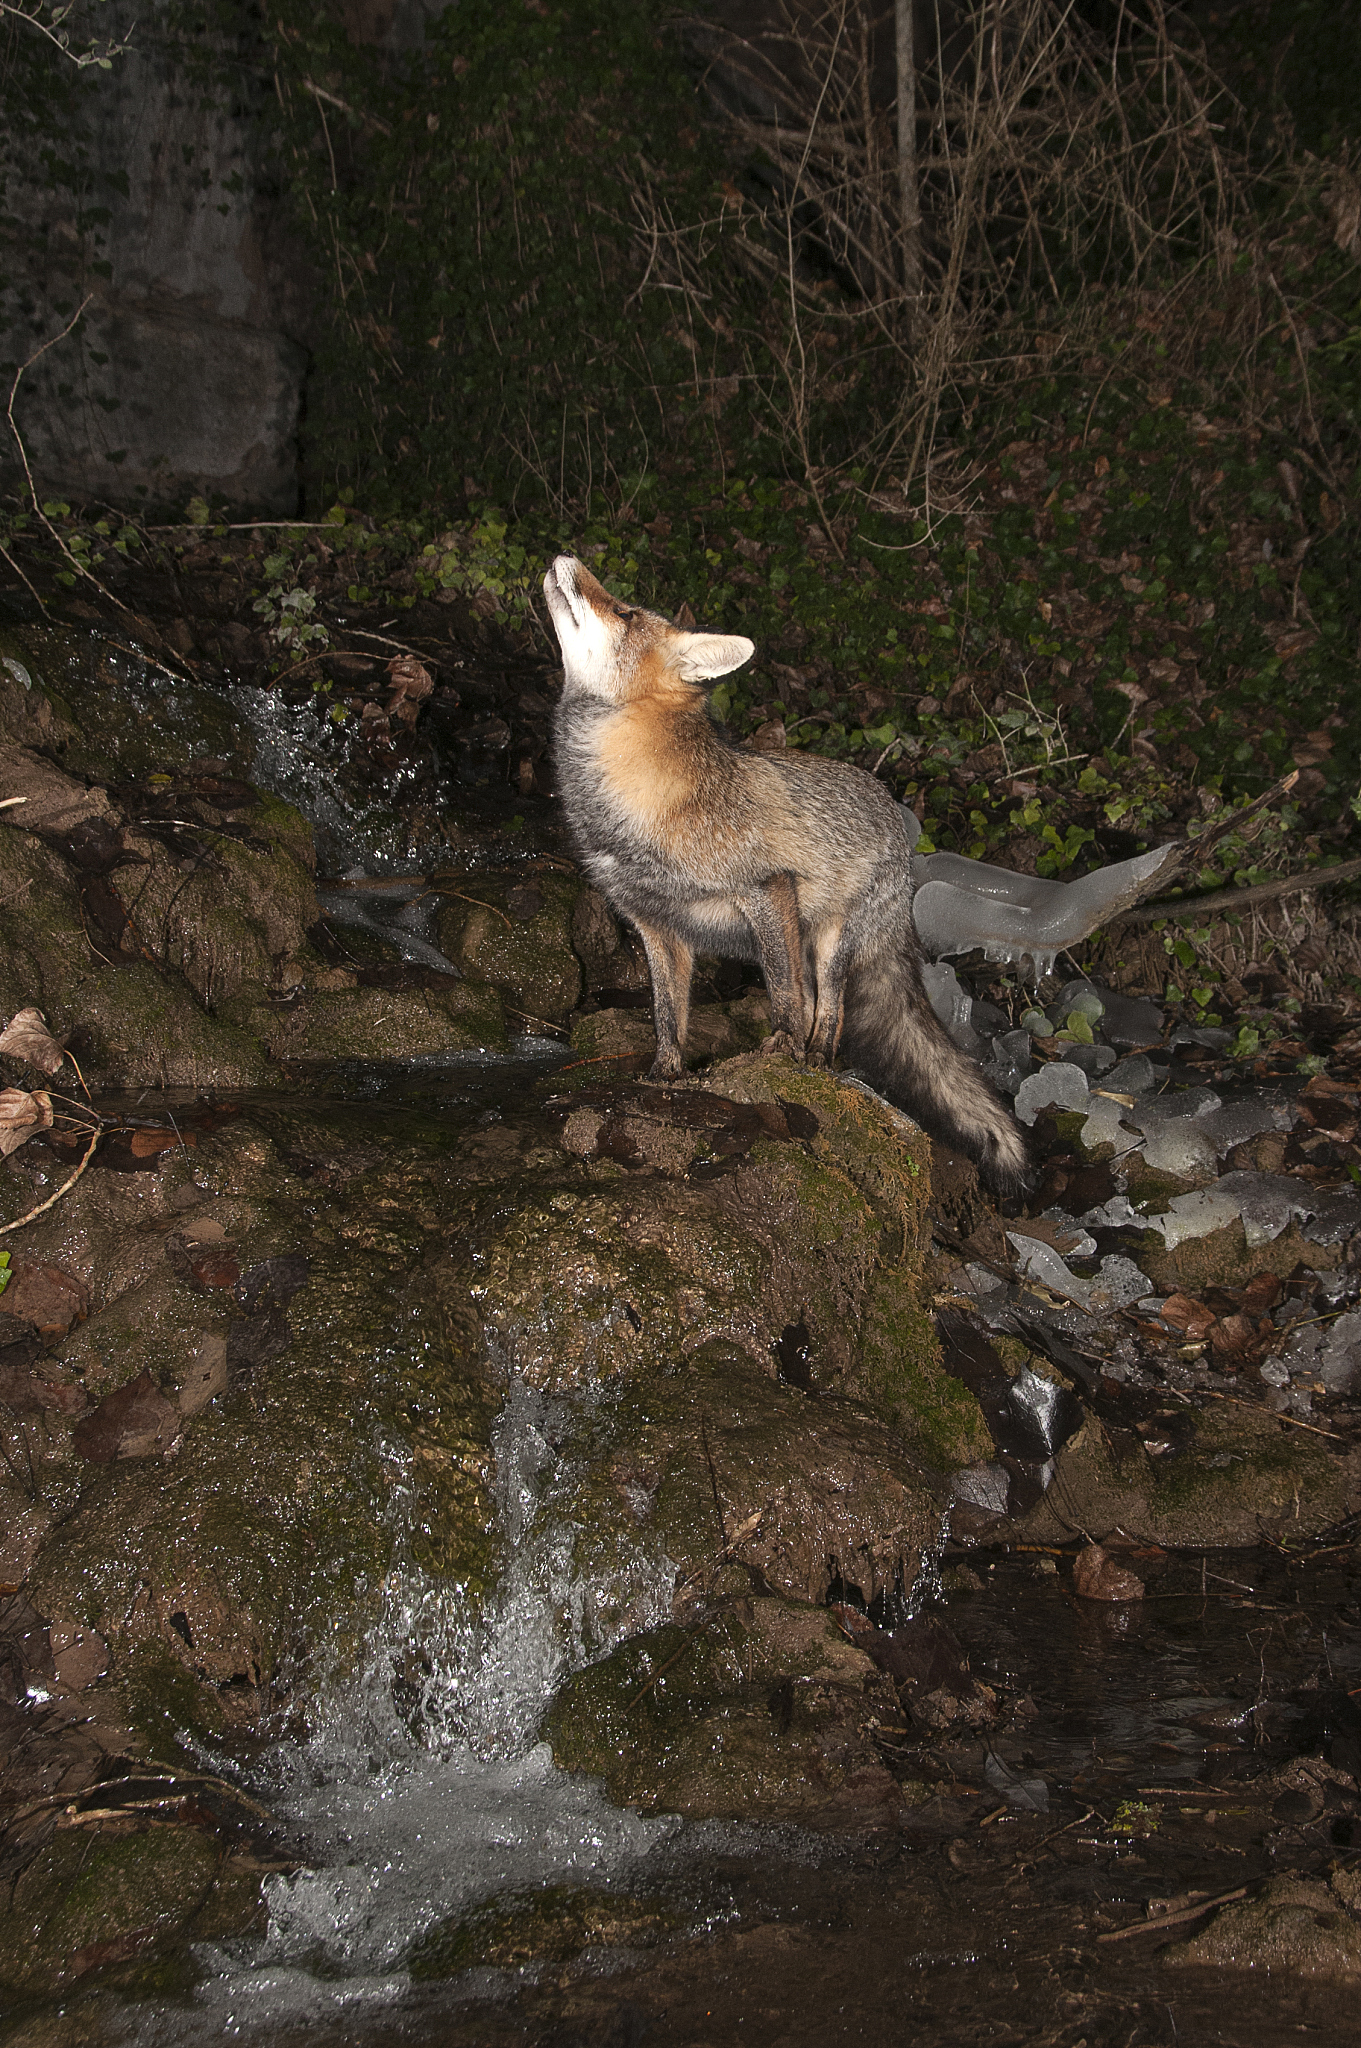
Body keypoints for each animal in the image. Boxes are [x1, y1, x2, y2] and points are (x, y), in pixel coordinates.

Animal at [543, 554, 1030, 1195]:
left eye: (624, 612)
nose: (564, 558)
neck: (635, 809)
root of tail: (905, 845)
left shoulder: (767, 887)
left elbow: (780, 993)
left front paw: (779, 1050)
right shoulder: (657, 926)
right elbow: (668, 1017)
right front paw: (664, 1078)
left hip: (827, 942)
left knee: (832, 1008)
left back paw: (817, 1061)